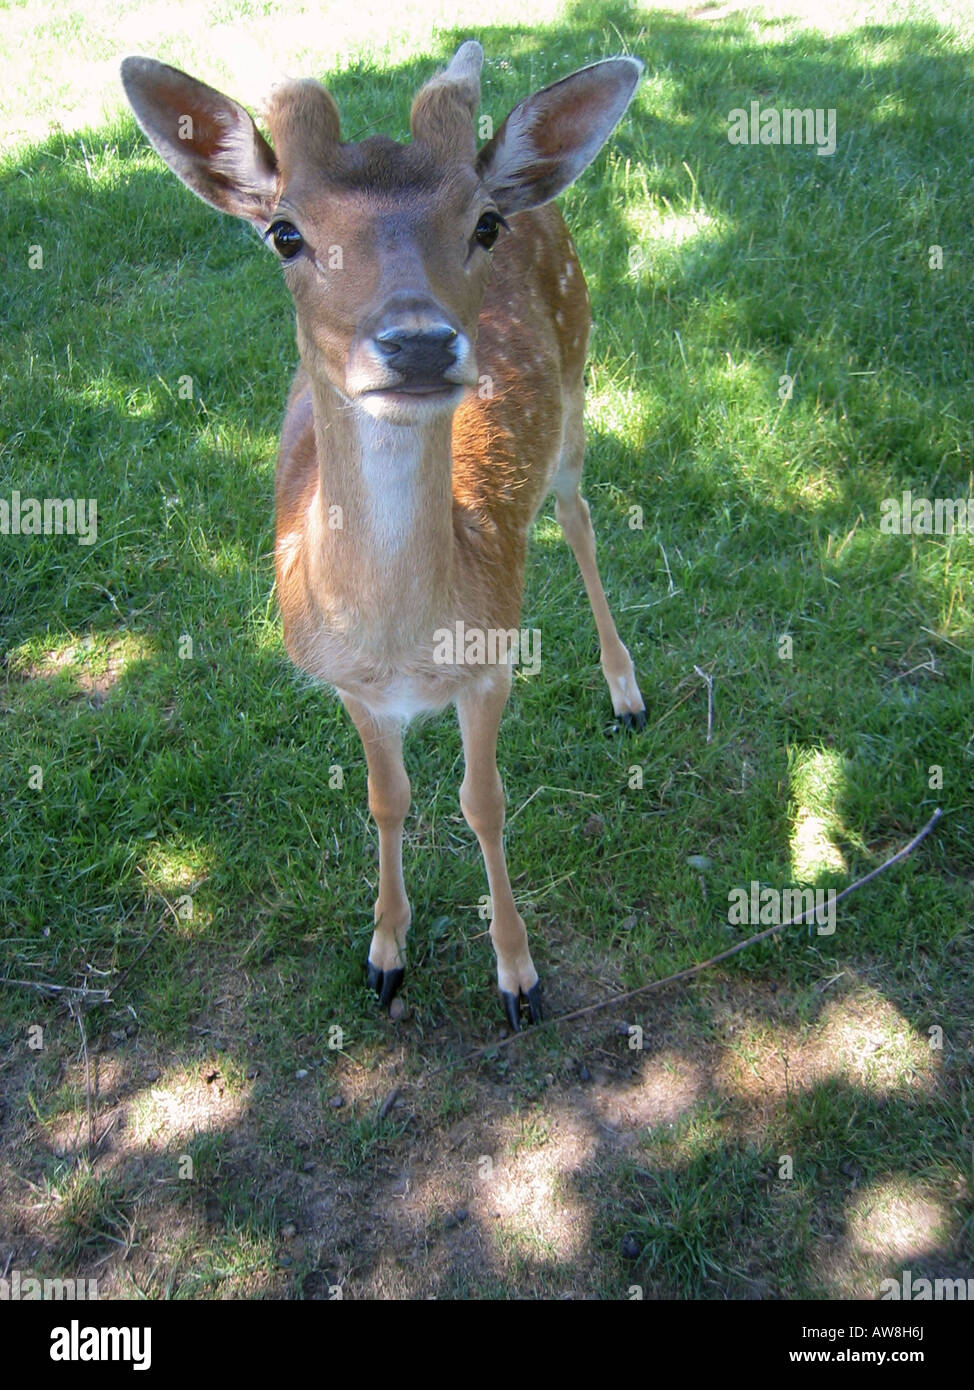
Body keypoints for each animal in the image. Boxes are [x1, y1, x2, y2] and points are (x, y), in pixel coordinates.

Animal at [120, 41, 646, 1031]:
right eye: (284, 232)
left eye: (482, 224)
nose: (418, 342)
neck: (406, 644)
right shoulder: (349, 688)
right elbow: (386, 802)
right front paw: (385, 956)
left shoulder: (492, 658)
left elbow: (485, 803)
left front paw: (518, 976)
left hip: (578, 391)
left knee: (582, 522)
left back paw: (625, 689)